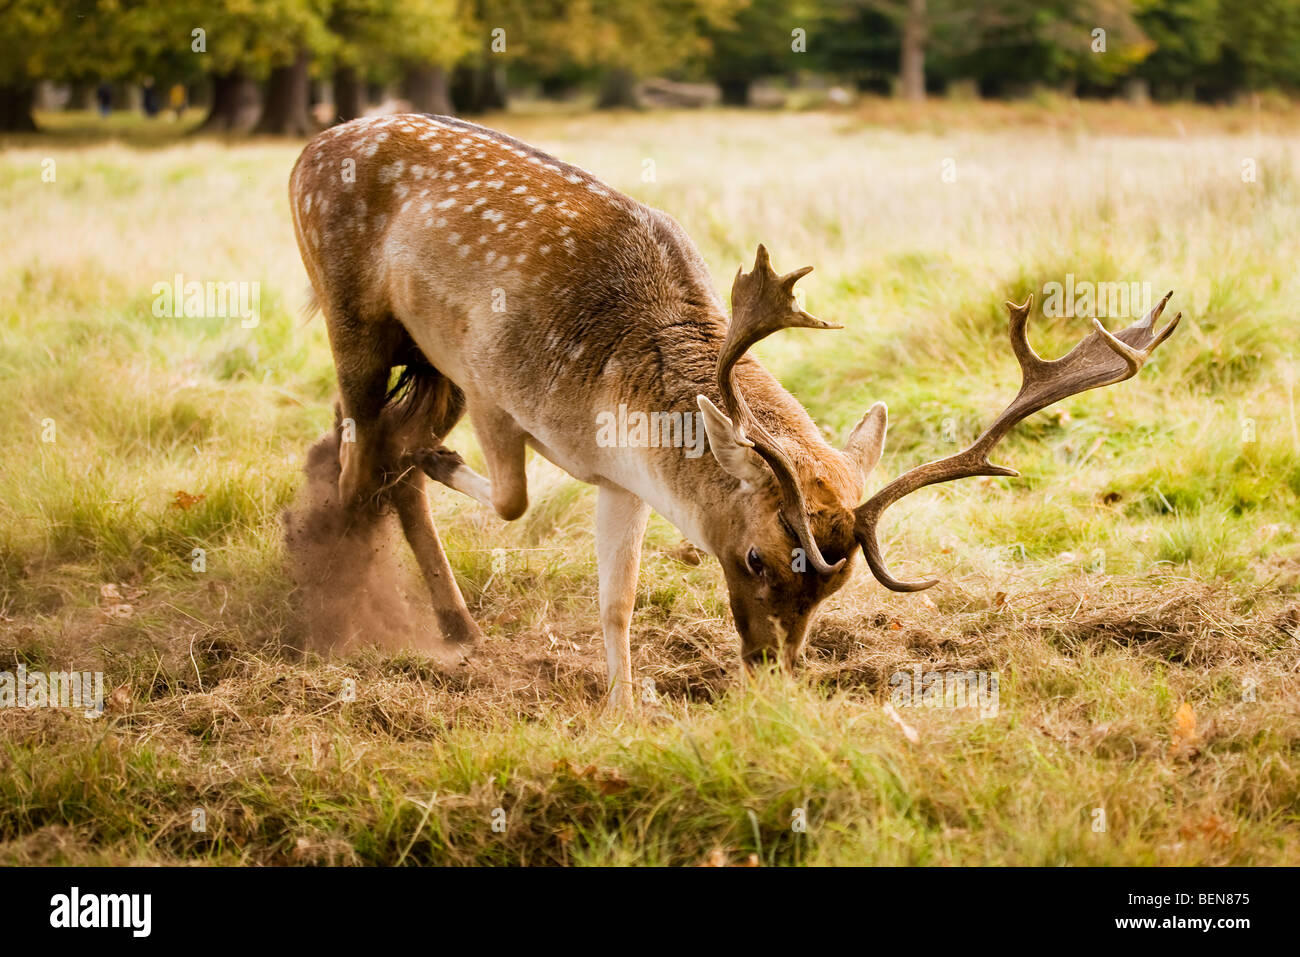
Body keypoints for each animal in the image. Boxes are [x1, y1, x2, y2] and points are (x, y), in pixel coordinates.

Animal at [289, 113, 1180, 713]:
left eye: (838, 584)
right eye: (756, 557)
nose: (772, 667)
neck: (605, 385)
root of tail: (309, 147)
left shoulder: (621, 478)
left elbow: (616, 599)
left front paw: (623, 707)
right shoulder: (487, 381)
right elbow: (510, 499)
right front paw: (442, 466)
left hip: (418, 362)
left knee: (375, 452)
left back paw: (447, 620)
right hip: (361, 324)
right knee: (367, 454)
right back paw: (343, 600)